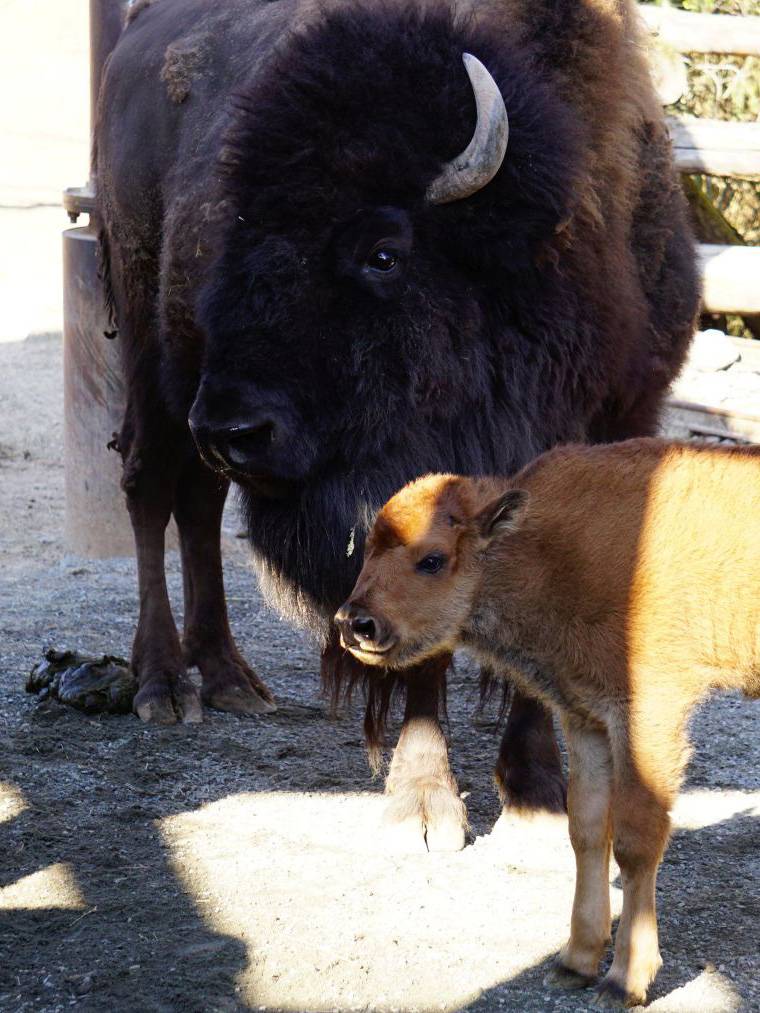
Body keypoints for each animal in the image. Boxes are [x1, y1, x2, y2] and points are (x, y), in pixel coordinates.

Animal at [95, 0, 699, 849]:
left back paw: (230, 677)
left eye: (383, 252)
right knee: (149, 488)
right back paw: (162, 686)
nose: (232, 427)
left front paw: (537, 792)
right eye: (236, 233)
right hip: (153, 358)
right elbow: (419, 638)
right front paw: (425, 805)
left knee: (200, 503)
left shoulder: (613, 429)